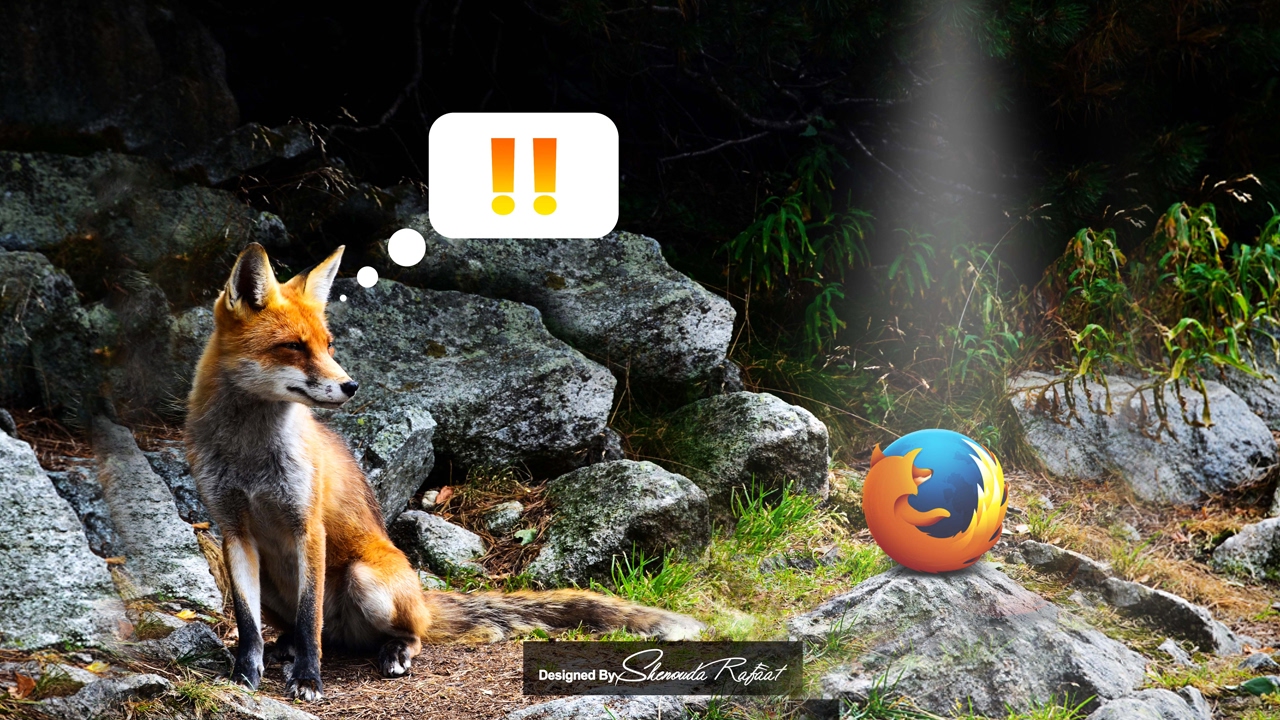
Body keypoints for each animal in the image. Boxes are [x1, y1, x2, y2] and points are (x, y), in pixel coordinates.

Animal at [185, 242, 703, 701]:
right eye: (293, 346)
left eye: (329, 346)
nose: (351, 386)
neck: (250, 458)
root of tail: (419, 597)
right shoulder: (234, 531)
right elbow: (247, 625)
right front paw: (244, 675)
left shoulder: (307, 527)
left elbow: (310, 615)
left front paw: (309, 680)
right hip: (276, 587)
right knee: (305, 630)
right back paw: (287, 647)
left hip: (366, 580)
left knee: (387, 634)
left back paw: (391, 652)